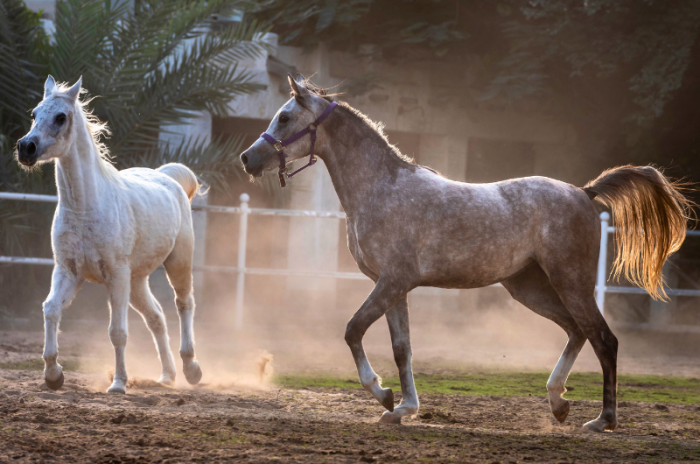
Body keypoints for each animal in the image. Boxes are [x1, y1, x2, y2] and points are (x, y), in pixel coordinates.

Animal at [15, 76, 203, 394]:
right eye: (34, 113)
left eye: (61, 117)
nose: (26, 148)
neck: (85, 208)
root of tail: (167, 177)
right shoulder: (68, 272)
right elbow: (51, 309)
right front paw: (53, 375)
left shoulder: (115, 275)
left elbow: (117, 332)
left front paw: (118, 384)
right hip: (137, 281)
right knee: (156, 317)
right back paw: (167, 376)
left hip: (177, 262)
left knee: (184, 304)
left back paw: (191, 370)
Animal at [239, 75, 693, 432]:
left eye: (284, 117)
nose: (247, 158)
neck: (381, 189)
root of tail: (584, 192)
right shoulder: (393, 288)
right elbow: (402, 347)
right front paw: (403, 408)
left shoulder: (392, 281)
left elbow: (353, 330)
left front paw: (383, 395)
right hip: (526, 287)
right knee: (576, 331)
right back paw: (558, 402)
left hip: (570, 280)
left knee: (603, 338)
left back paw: (603, 420)